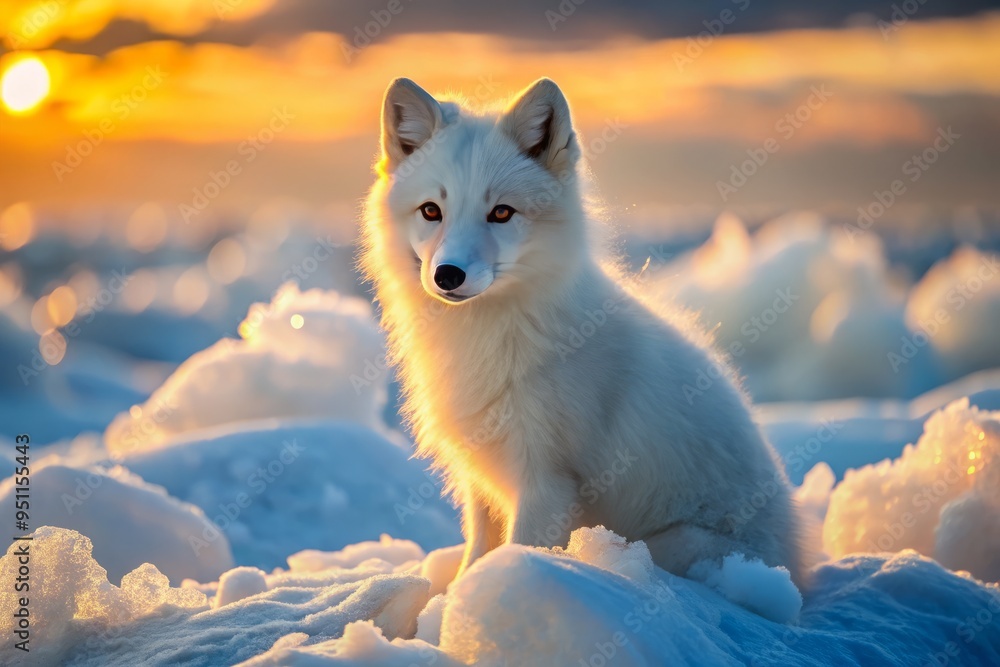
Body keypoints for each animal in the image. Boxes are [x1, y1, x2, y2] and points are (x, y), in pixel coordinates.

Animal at [360, 77, 802, 583]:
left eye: (502, 213)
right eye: (431, 211)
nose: (447, 275)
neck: (490, 337)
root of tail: (799, 566)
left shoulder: (547, 480)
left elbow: (519, 549)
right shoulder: (481, 477)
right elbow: (478, 551)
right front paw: (455, 597)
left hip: (673, 544)